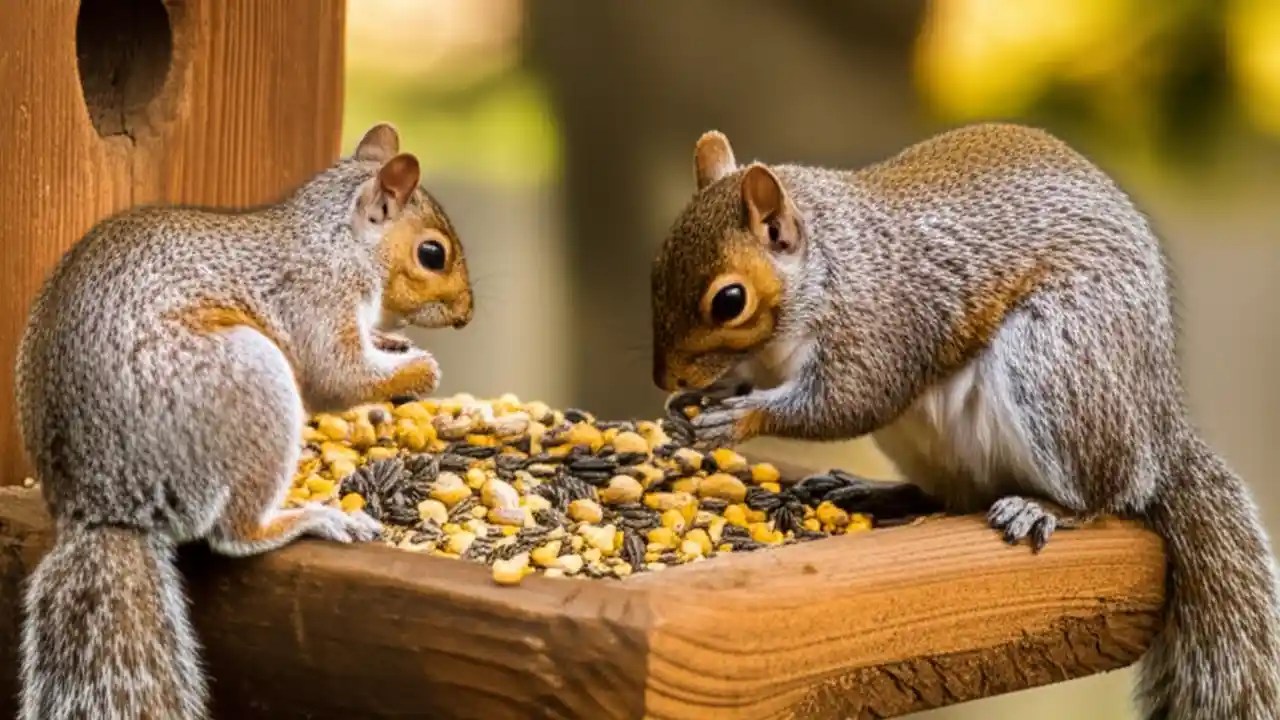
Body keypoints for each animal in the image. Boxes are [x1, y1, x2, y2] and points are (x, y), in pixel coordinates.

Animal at [14, 122, 473, 720]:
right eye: (432, 254)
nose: (466, 314)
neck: (336, 240)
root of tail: (100, 506)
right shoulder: (315, 297)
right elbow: (338, 375)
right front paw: (419, 369)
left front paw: (392, 345)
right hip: (252, 387)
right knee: (236, 535)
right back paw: (314, 519)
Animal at [650, 123, 1280, 719]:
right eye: (656, 267)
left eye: (730, 301)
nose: (666, 379)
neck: (827, 267)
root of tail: (1158, 434)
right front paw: (694, 405)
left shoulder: (881, 325)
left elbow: (850, 401)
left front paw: (736, 418)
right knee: (953, 496)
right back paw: (873, 491)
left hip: (1056, 368)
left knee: (1108, 494)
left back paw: (1045, 507)